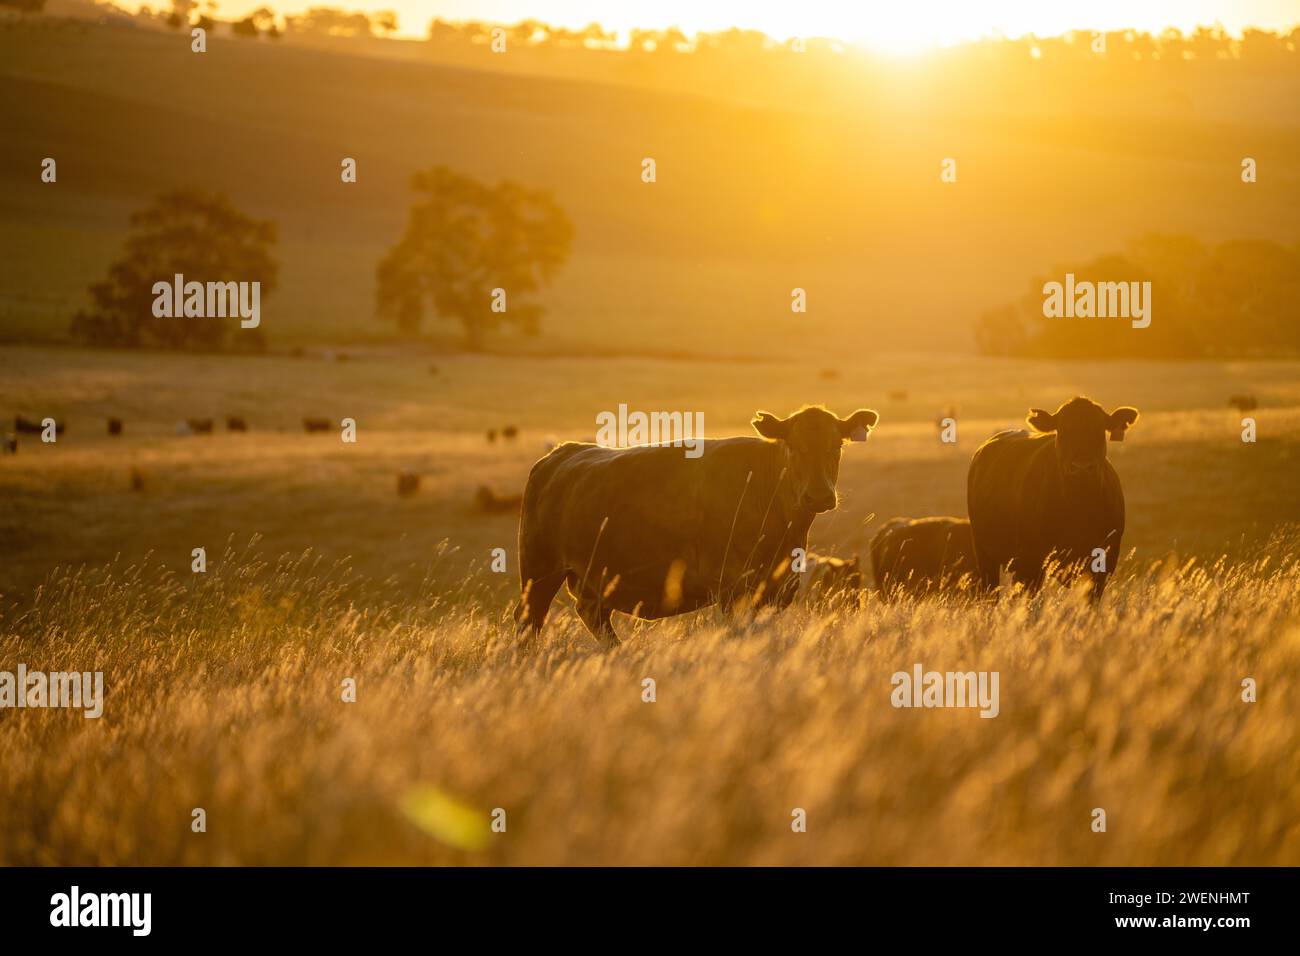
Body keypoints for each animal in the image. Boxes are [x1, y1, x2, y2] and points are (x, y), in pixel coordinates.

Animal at [514, 404, 879, 647]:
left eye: (837, 446)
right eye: (793, 446)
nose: (818, 495)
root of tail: (562, 453)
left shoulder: (779, 589)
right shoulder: (732, 588)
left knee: (594, 616)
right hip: (540, 572)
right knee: (528, 623)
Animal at [967, 397, 1139, 601]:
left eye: (1099, 429)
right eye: (1062, 430)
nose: (1081, 467)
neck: (1080, 506)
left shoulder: (1103, 563)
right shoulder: (1032, 560)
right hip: (985, 554)